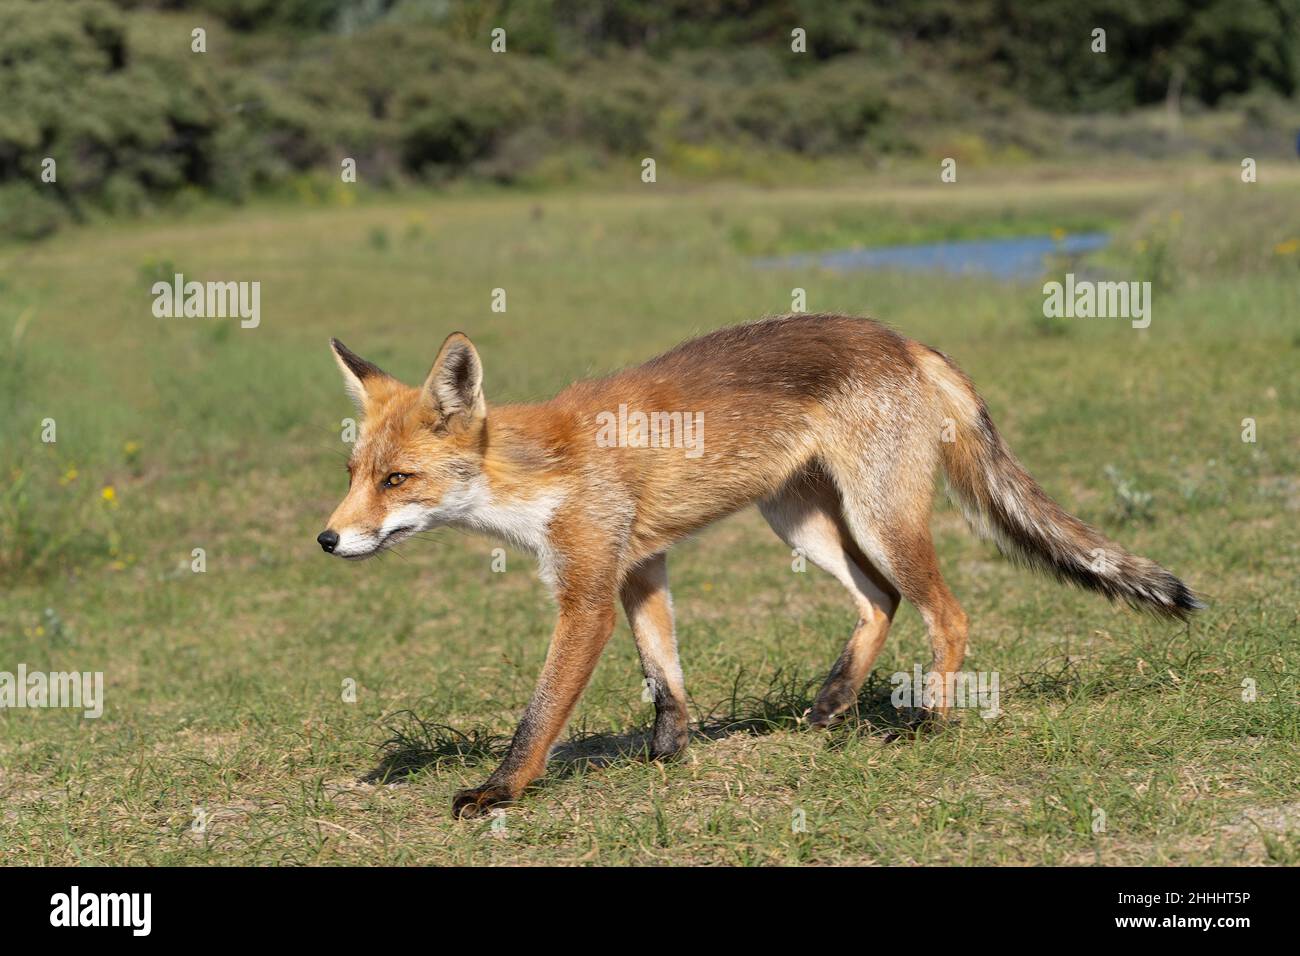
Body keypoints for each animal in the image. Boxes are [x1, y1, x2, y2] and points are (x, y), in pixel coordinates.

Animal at [318, 313, 1202, 818]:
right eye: (355, 473)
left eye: (397, 481)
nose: (327, 541)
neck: (537, 473)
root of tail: (902, 337)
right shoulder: (641, 567)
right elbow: (664, 674)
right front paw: (669, 752)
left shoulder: (587, 592)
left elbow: (539, 716)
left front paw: (501, 791)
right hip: (802, 524)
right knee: (879, 601)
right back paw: (834, 703)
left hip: (880, 520)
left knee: (946, 612)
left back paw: (929, 723)